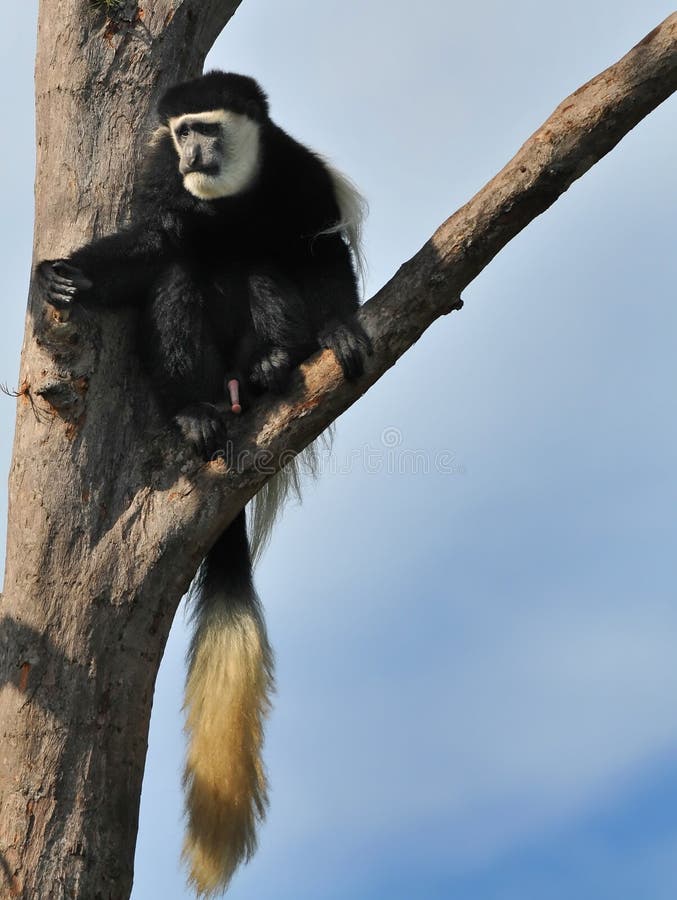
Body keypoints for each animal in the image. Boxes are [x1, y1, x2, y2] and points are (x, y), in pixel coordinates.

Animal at [36, 71, 369, 895]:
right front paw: (69, 276)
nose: (193, 154)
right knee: (181, 271)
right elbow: (154, 244)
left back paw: (273, 368)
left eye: (208, 128)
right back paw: (193, 413)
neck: (232, 196)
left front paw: (338, 330)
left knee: (262, 270)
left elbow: (317, 250)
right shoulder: (165, 186)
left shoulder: (300, 180)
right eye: (180, 133)